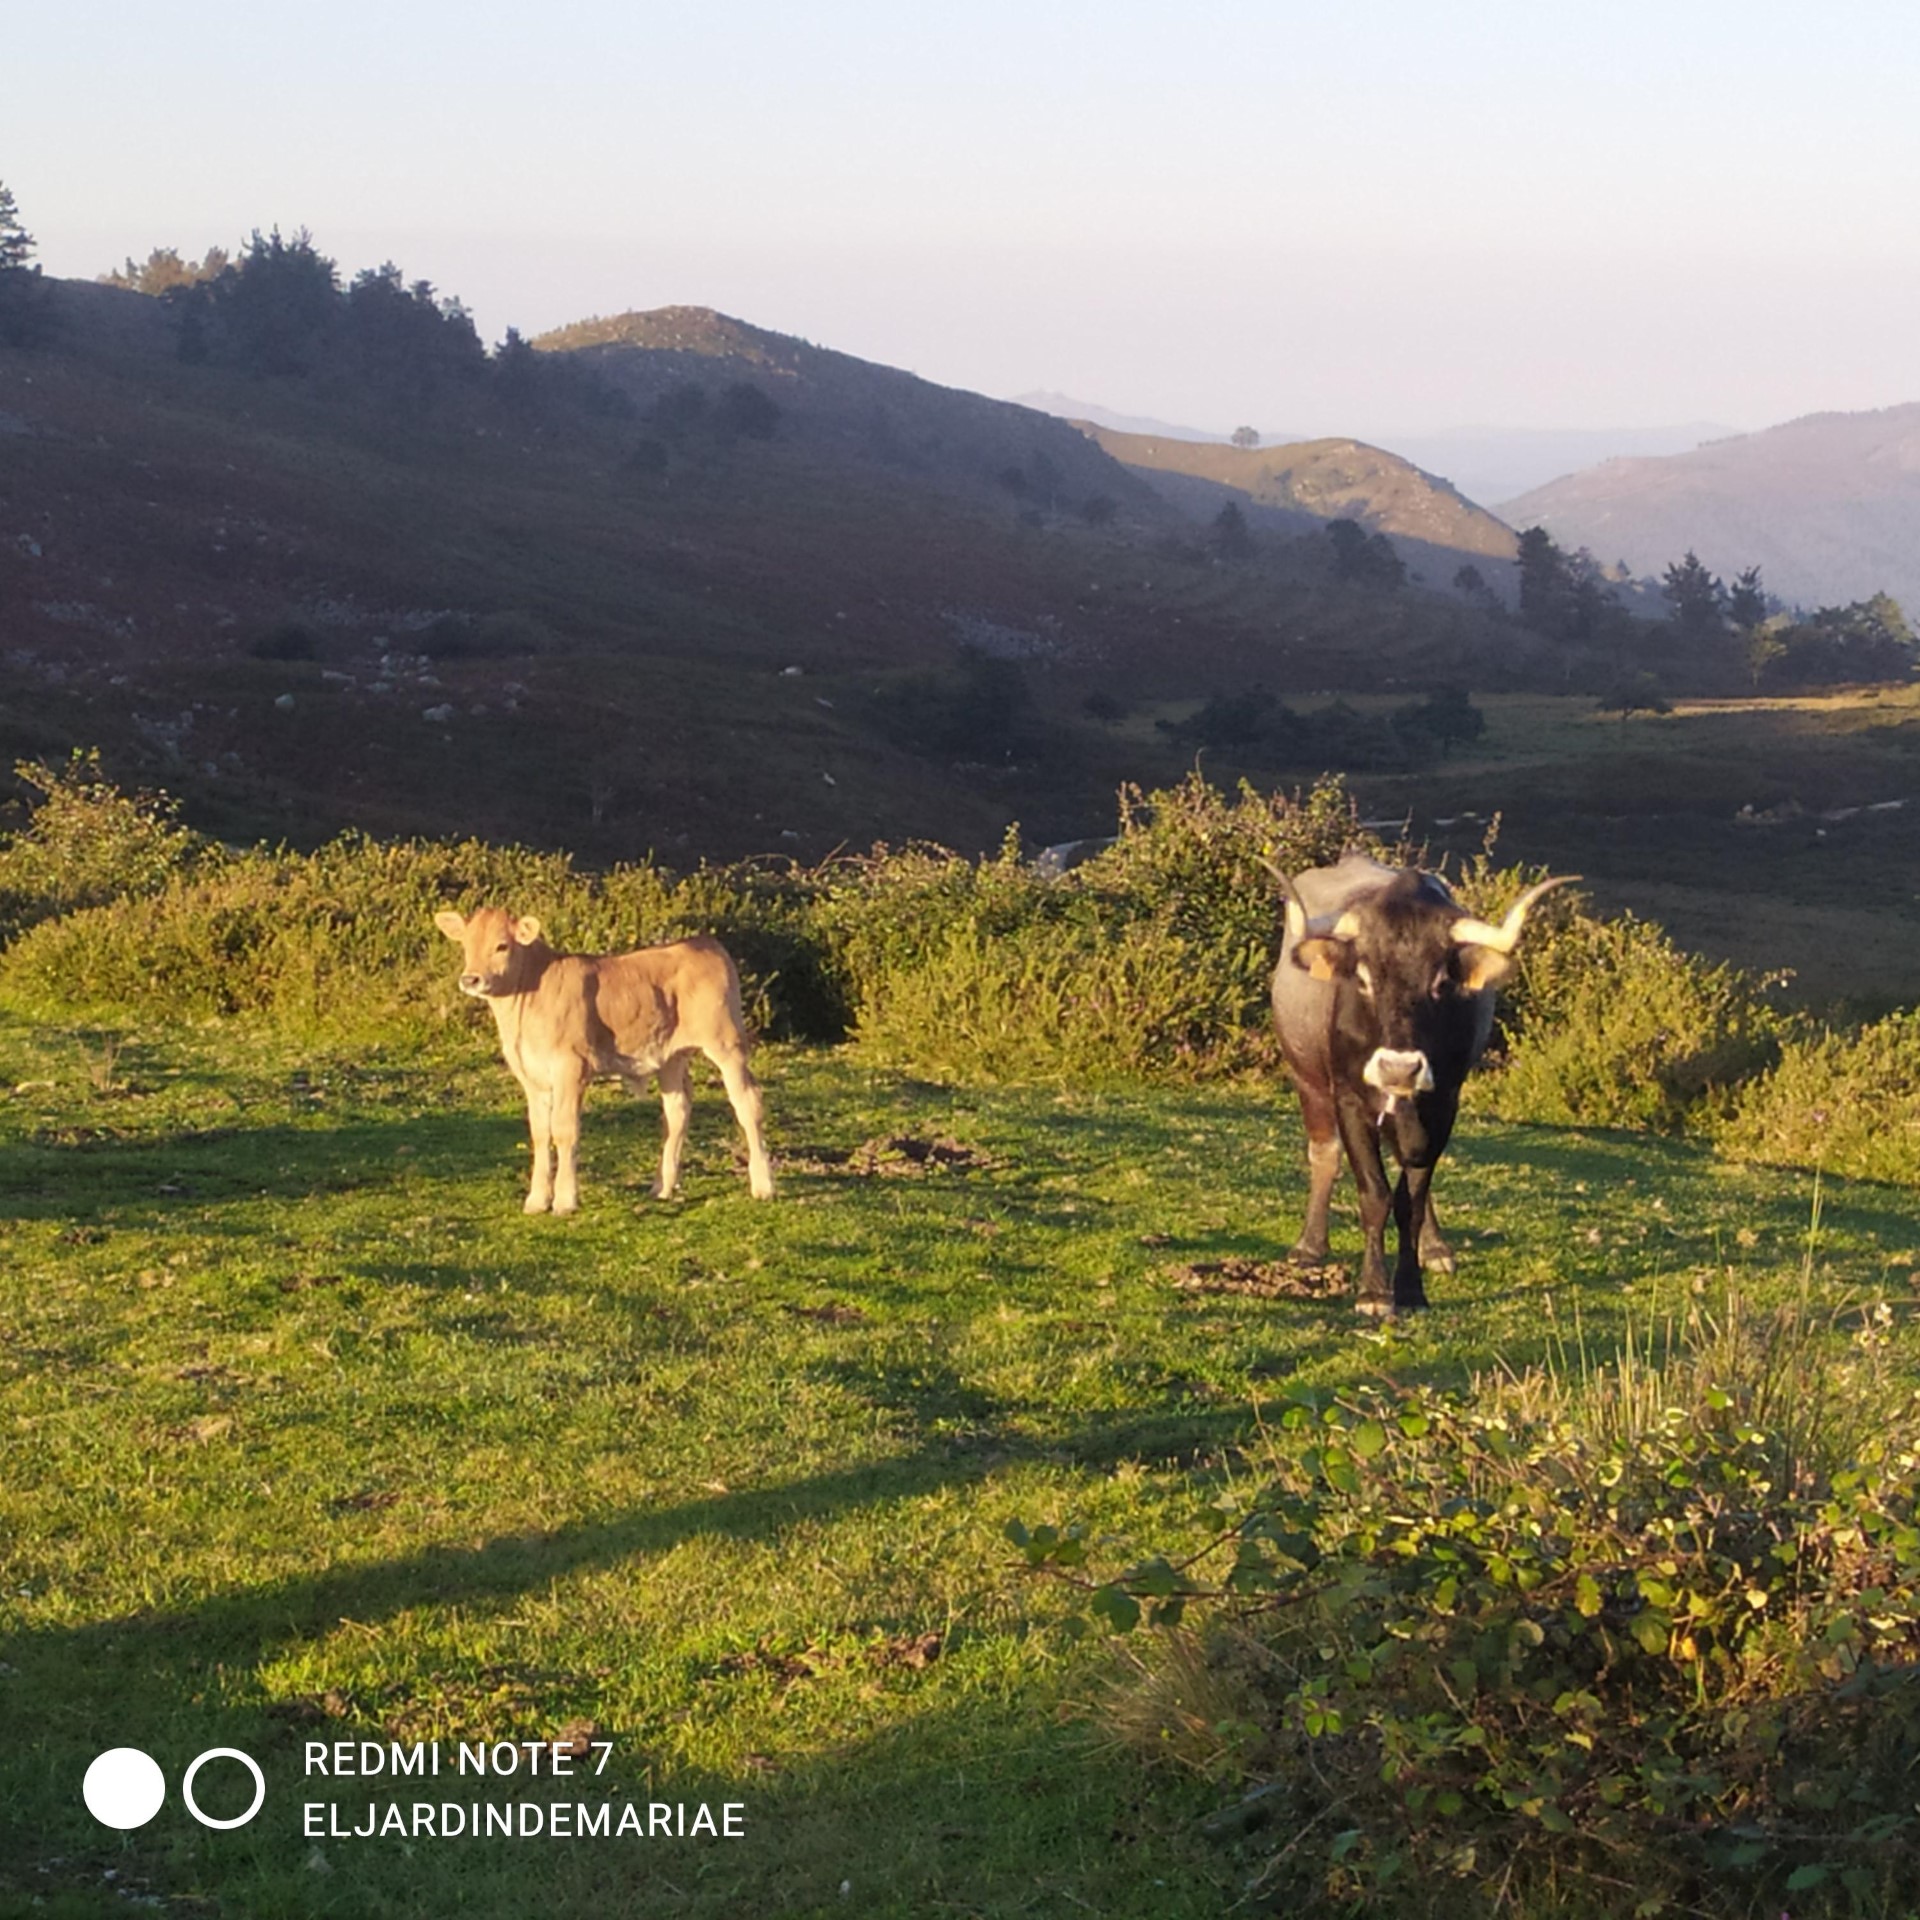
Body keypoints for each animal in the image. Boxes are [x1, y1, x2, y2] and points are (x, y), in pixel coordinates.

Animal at [434, 907, 775, 1215]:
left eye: (502, 946)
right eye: (465, 944)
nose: (471, 979)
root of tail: (703, 942)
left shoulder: (570, 1067)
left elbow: (564, 1129)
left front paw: (564, 1200)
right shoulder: (531, 1075)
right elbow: (540, 1133)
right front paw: (536, 1200)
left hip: (727, 1043)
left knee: (747, 1103)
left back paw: (763, 1185)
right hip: (671, 1056)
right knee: (677, 1111)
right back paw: (661, 1187)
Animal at [1268, 854, 1574, 1315]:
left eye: (1440, 981)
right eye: (1363, 978)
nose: (1399, 1068)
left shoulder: (1444, 1102)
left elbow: (1410, 1197)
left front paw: (1411, 1286)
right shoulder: (1349, 1101)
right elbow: (1374, 1194)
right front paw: (1374, 1292)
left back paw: (1435, 1248)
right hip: (1309, 1080)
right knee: (1324, 1154)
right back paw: (1310, 1244)